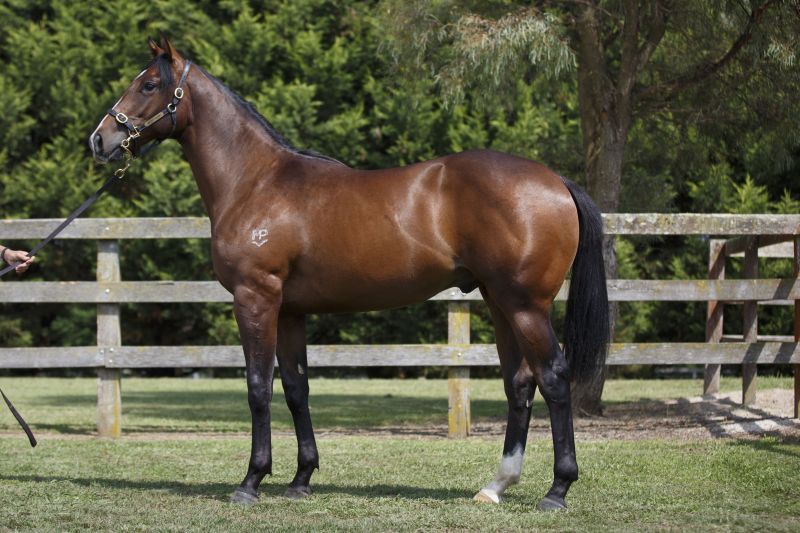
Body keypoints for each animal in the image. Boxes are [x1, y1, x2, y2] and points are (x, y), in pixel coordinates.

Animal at [89, 37, 609, 511]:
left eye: (149, 84)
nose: (100, 139)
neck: (255, 182)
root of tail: (555, 181)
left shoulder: (255, 298)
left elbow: (258, 387)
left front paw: (251, 481)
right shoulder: (290, 311)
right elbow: (296, 388)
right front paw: (301, 479)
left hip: (525, 307)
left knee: (554, 378)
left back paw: (557, 490)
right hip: (499, 303)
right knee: (519, 383)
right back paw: (495, 486)